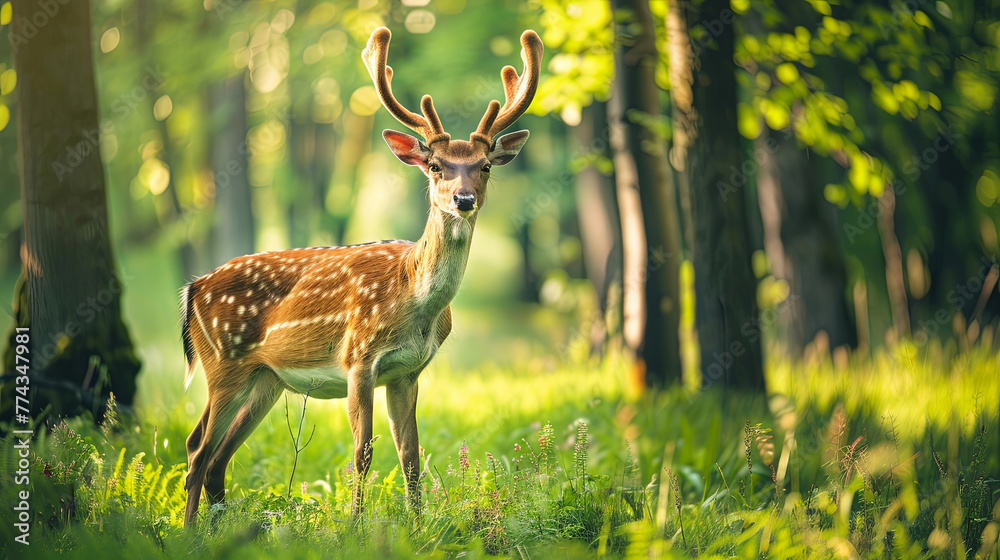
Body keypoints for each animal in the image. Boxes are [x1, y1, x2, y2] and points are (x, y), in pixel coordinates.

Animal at [178, 26, 542, 526]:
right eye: (435, 166)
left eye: (484, 166)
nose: (464, 199)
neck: (415, 303)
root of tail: (193, 288)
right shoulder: (358, 359)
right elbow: (363, 452)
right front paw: (354, 525)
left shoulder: (408, 372)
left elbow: (410, 454)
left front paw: (417, 524)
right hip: (223, 362)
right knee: (197, 447)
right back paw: (190, 531)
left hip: (265, 379)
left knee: (217, 457)